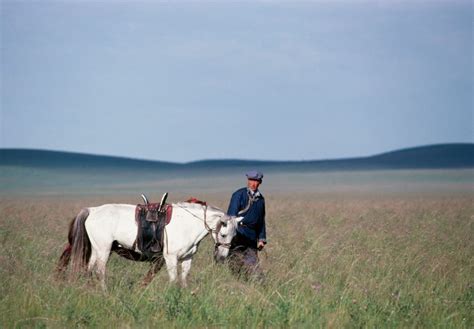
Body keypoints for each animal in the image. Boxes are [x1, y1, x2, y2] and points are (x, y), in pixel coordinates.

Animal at [57, 199, 241, 286]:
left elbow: (183, 279)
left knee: (88, 269)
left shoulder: (187, 258)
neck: (187, 224)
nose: (222, 257)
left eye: (234, 236)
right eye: (223, 234)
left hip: (96, 249)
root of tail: (92, 210)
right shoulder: (170, 258)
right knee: (99, 271)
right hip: (103, 249)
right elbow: (174, 279)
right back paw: (105, 293)